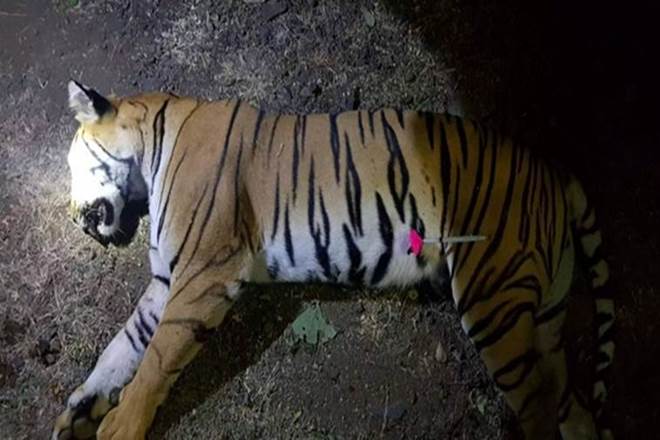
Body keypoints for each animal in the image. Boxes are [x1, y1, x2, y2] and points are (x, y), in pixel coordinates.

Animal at [53, 80, 614, 440]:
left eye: (74, 163)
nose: (76, 218)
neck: (152, 150)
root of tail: (551, 170)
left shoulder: (202, 276)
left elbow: (154, 362)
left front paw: (118, 427)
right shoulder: (167, 282)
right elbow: (121, 349)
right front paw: (78, 410)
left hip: (492, 300)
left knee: (540, 411)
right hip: (543, 313)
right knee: (573, 407)